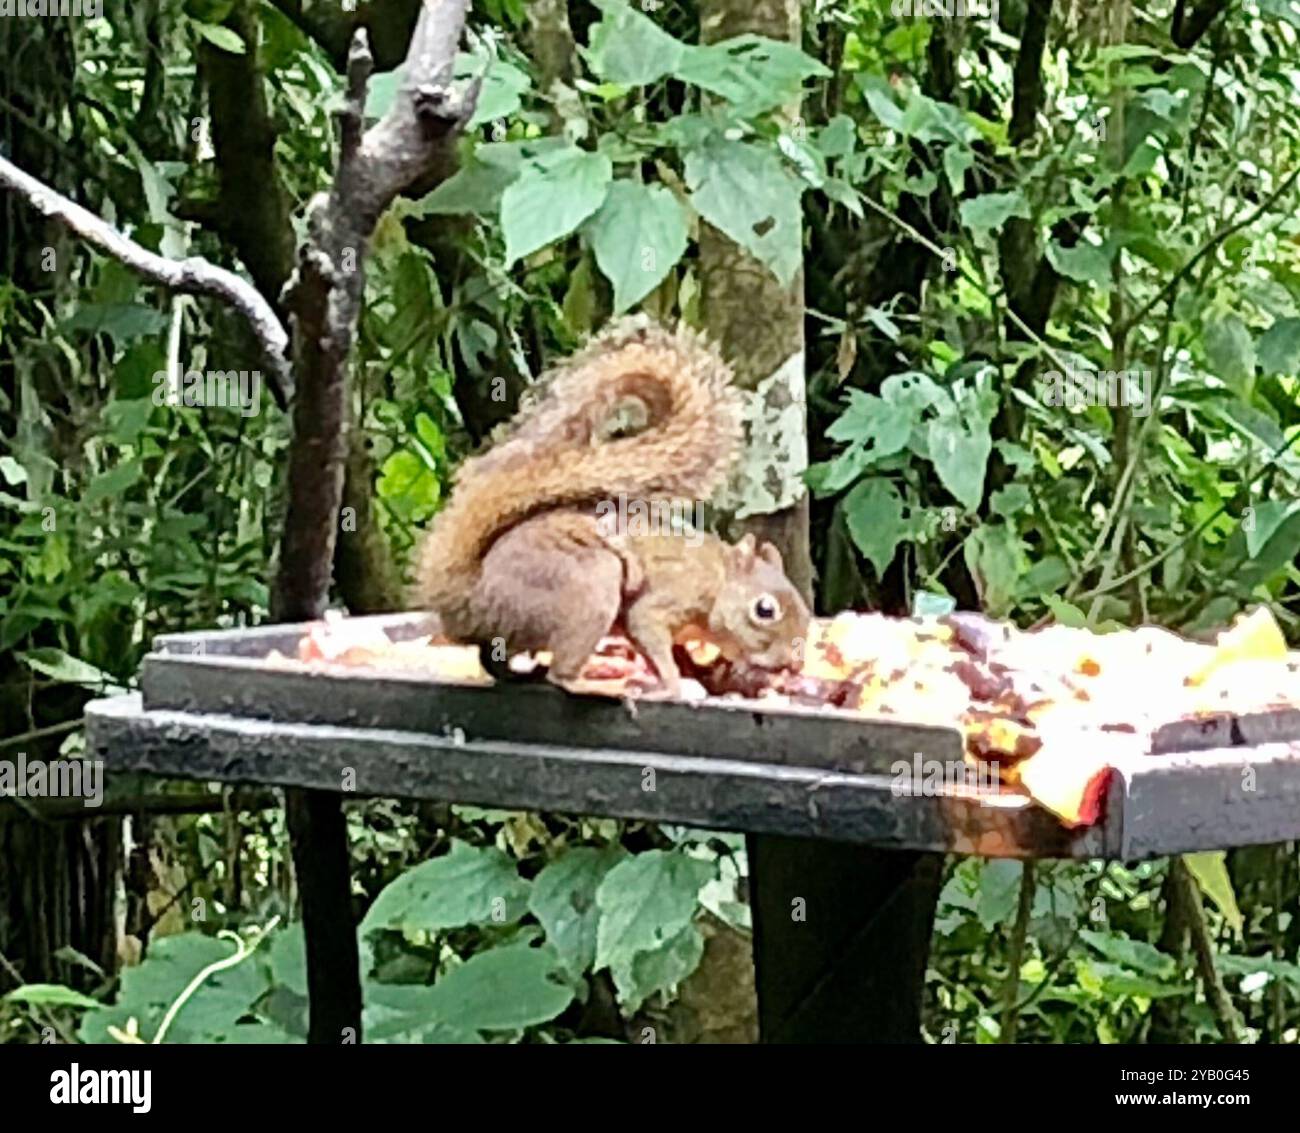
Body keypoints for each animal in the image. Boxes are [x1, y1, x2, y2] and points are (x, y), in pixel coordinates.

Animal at [415, 316, 810, 698]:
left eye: (807, 614)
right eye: (764, 610)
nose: (794, 664)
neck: (717, 579)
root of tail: (469, 598)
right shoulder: (670, 597)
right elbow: (647, 628)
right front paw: (673, 687)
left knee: (494, 660)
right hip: (589, 587)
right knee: (561, 675)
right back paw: (597, 684)